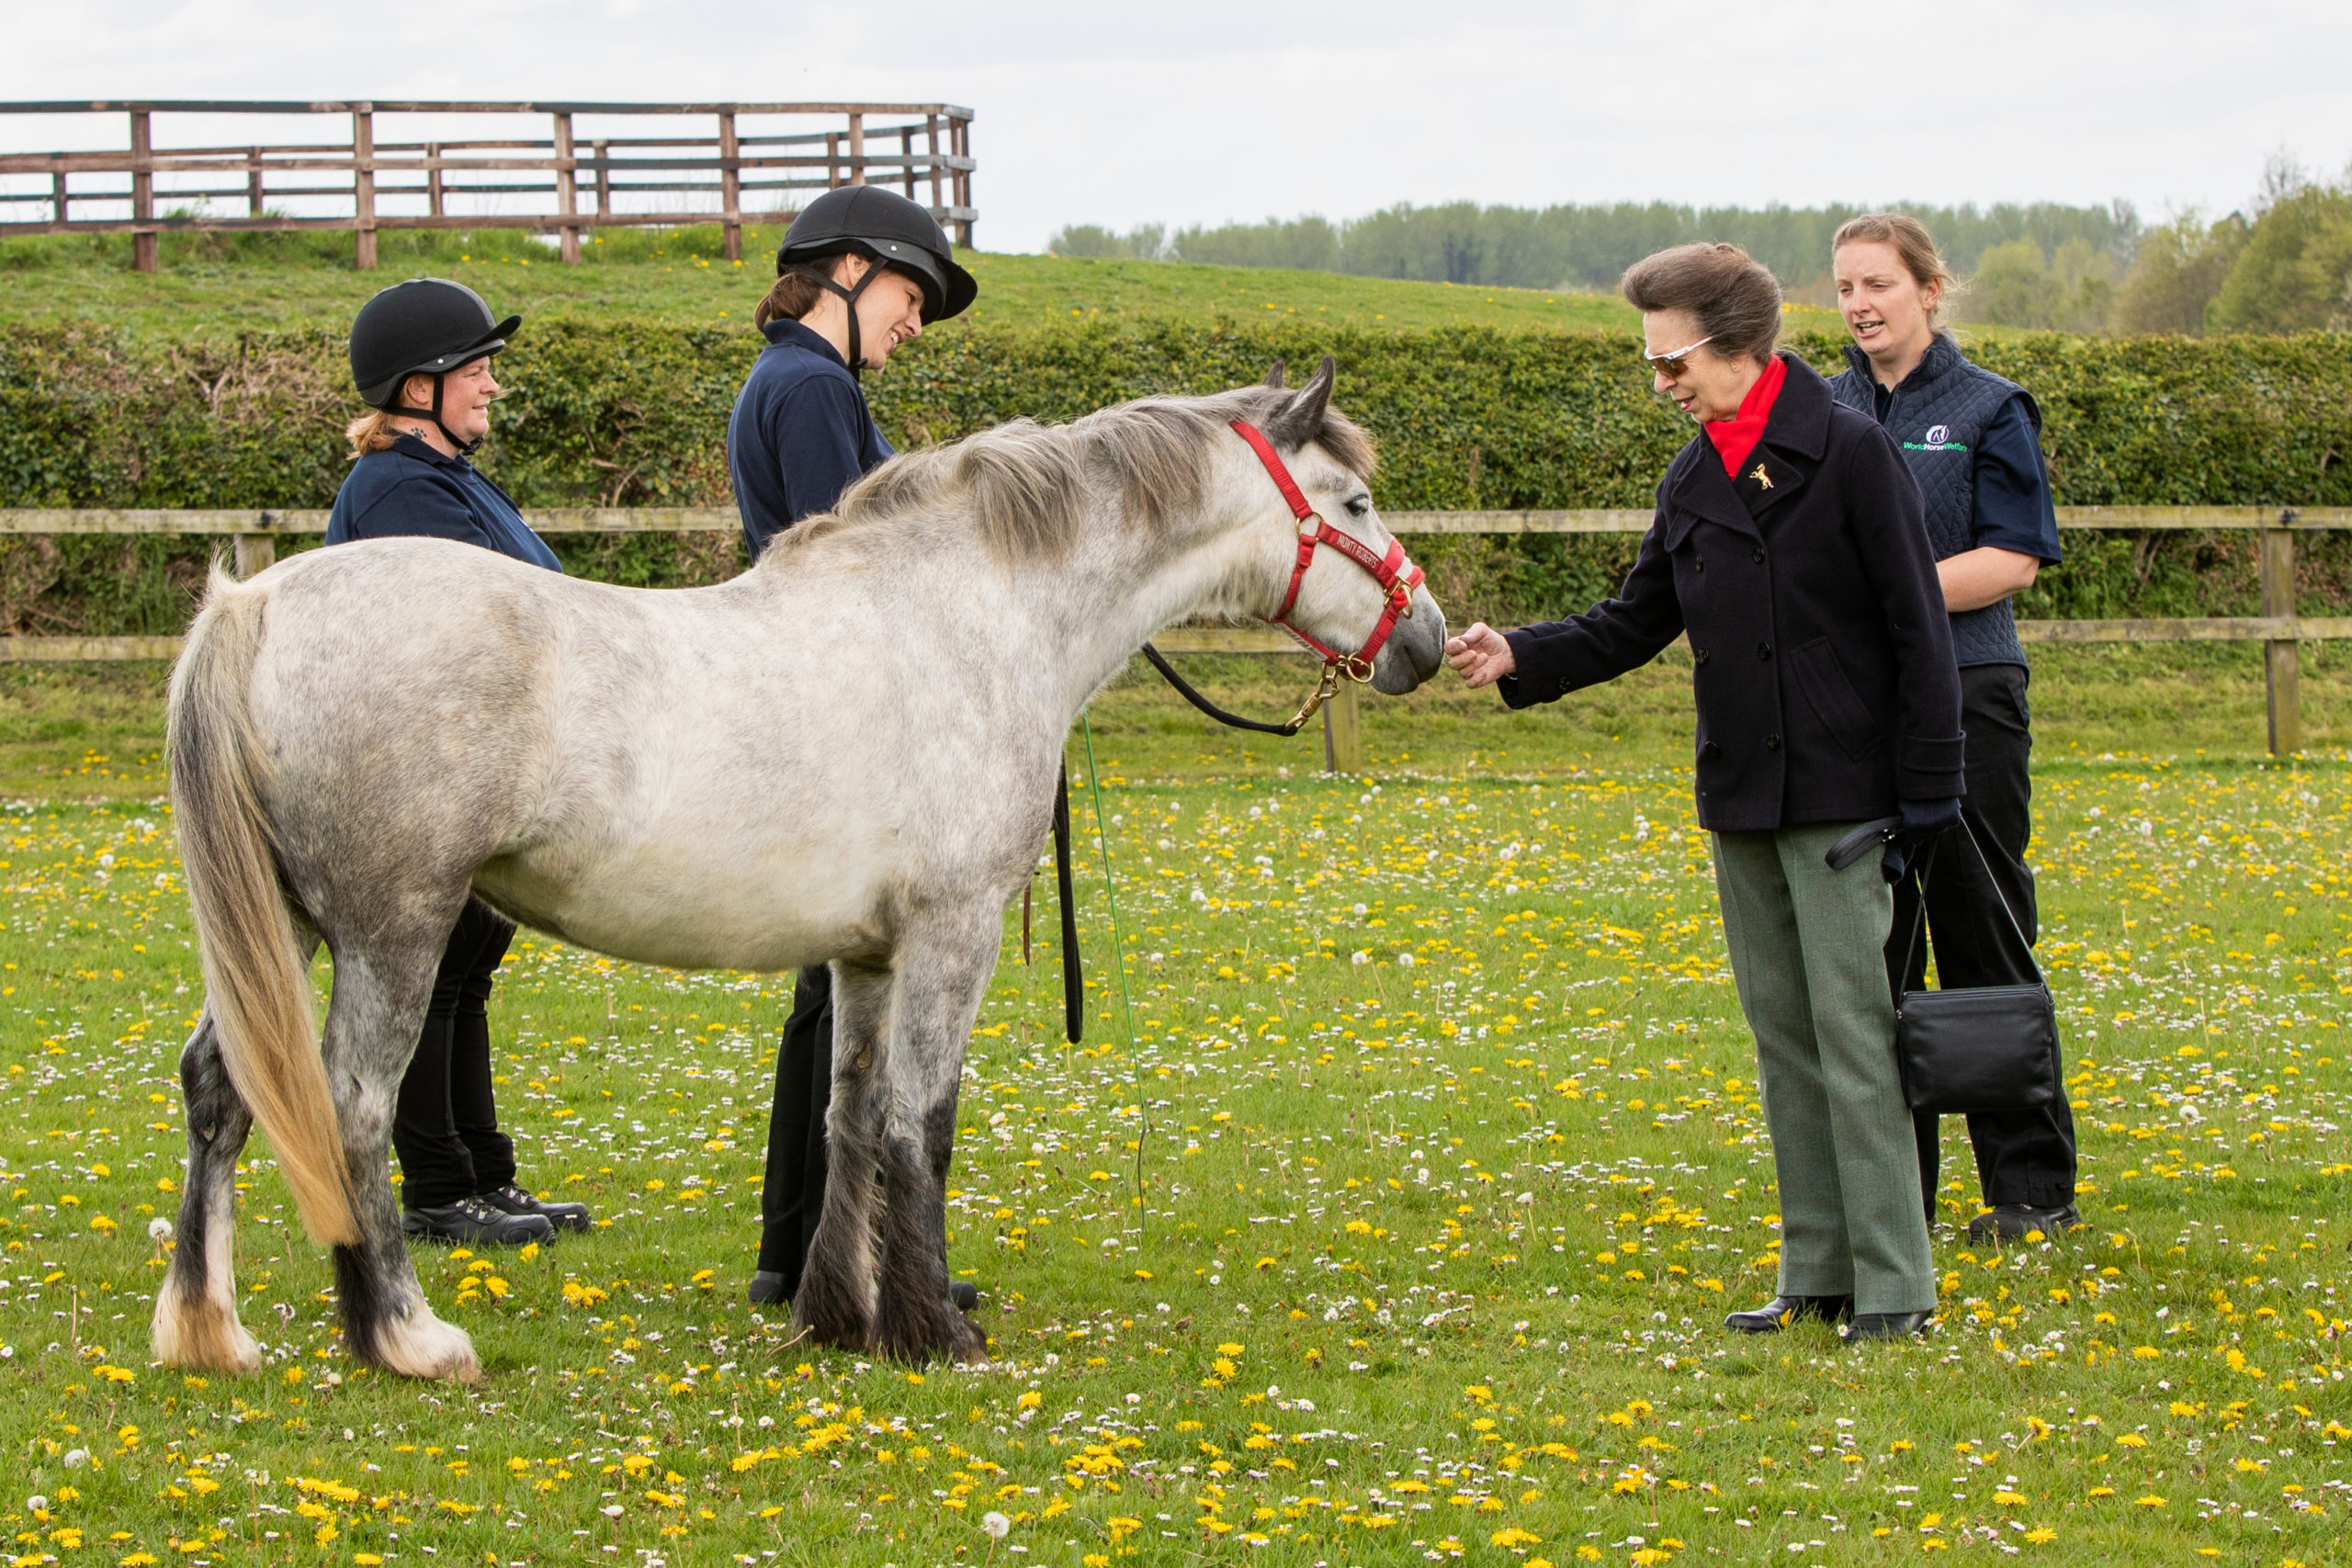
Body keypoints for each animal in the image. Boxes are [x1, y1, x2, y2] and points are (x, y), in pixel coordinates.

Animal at [151, 356, 1446, 1381]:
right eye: (1355, 500)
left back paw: (211, 1332)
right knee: (350, 1107)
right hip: (394, 932)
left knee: (221, 1088)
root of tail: (254, 604)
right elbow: (923, 1121)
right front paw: (935, 1331)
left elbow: (849, 1118)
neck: (973, 617)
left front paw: (840, 1317)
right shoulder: (952, 936)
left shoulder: (864, 957)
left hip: (287, 929)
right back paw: (406, 1339)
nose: (1427, 642)